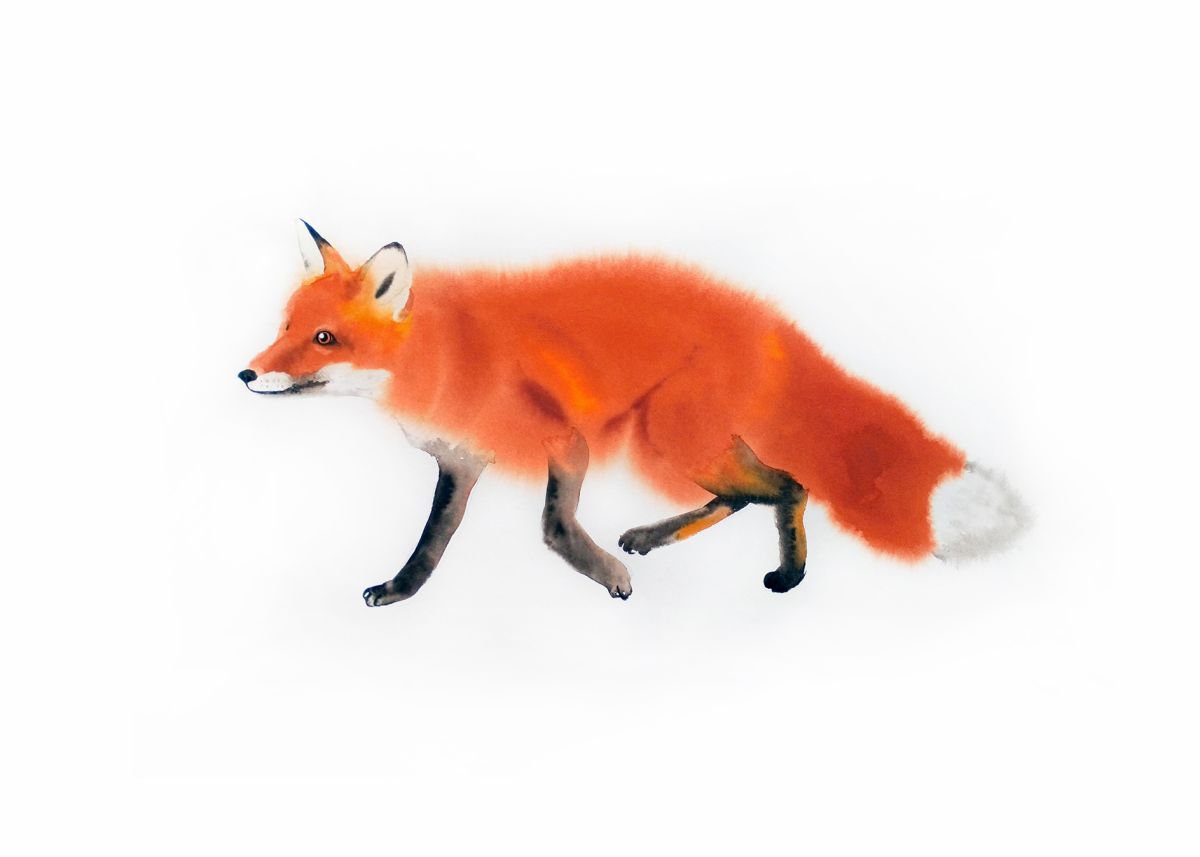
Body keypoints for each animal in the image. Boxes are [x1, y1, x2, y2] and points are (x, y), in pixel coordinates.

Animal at [239, 221, 1028, 606]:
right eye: (285, 326)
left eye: (324, 339)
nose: (246, 371)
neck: (446, 355)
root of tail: (767, 321)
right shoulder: (460, 463)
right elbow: (431, 543)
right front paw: (402, 591)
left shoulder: (564, 440)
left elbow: (554, 526)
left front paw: (608, 576)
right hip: (687, 442)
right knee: (752, 493)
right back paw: (661, 537)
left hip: (666, 439)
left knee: (786, 486)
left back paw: (788, 576)